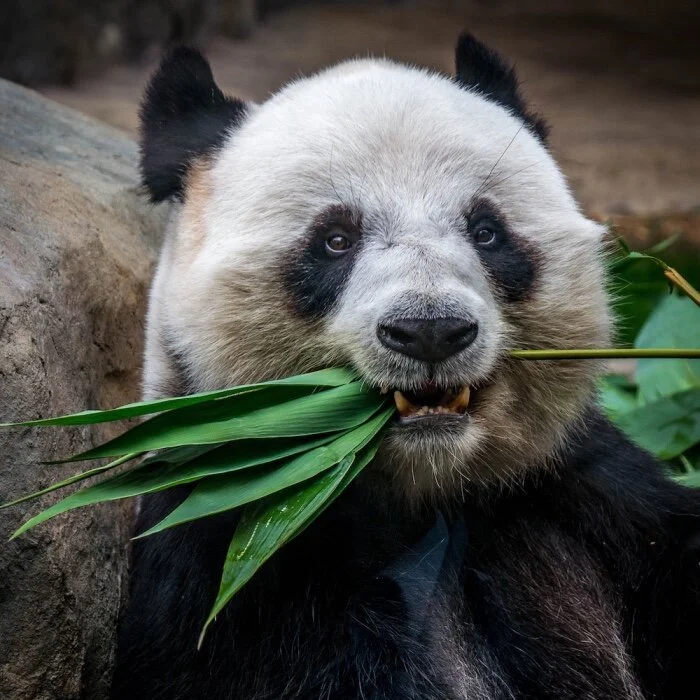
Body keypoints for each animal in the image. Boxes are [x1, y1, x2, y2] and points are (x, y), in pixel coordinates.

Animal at [111, 34, 700, 700]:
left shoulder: (579, 490)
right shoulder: (236, 547)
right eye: (335, 239)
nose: (430, 331)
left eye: (485, 230)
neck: (423, 488)